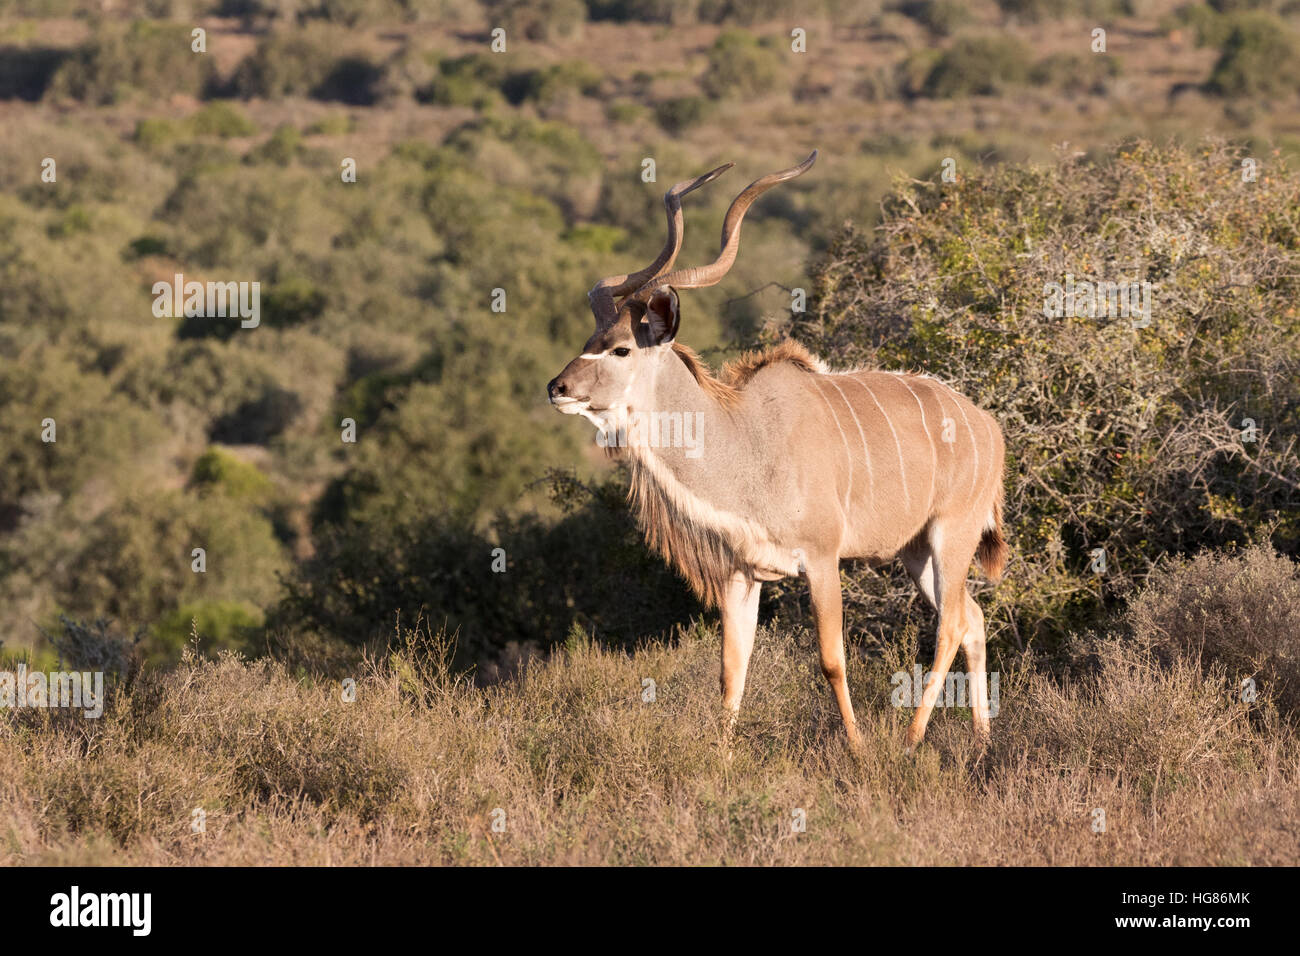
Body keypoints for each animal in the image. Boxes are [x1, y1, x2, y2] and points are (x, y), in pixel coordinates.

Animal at [546, 152, 1007, 750]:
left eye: (621, 348)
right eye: (589, 341)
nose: (556, 387)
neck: (747, 441)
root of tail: (990, 428)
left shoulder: (822, 559)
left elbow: (831, 659)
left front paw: (859, 750)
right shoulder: (741, 575)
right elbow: (731, 671)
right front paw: (721, 759)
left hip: (953, 534)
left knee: (951, 624)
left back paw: (911, 738)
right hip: (916, 551)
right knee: (972, 617)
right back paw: (981, 738)